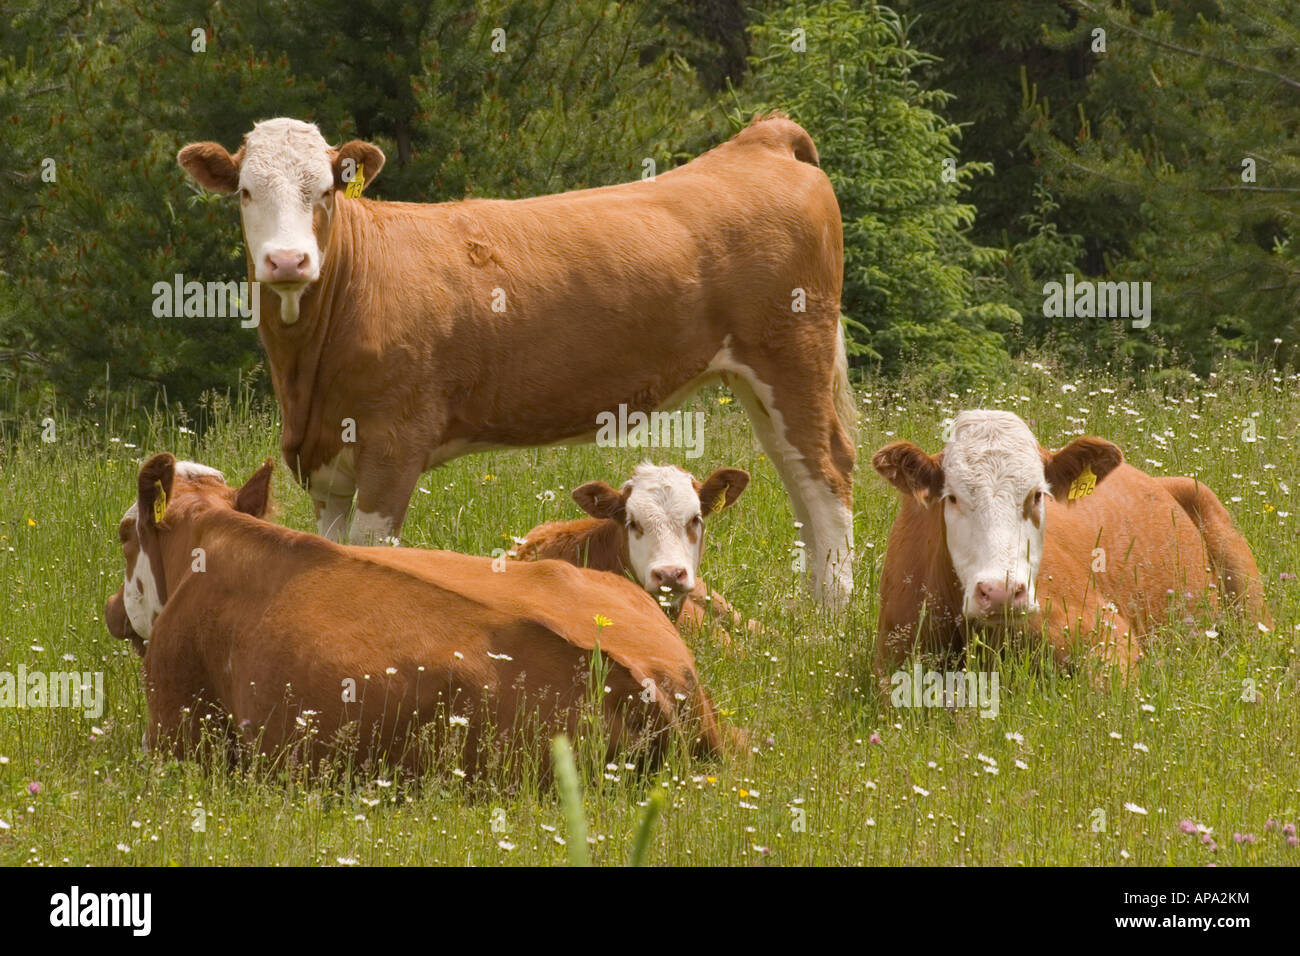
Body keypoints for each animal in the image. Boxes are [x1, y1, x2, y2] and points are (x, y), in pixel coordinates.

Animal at [176, 113, 856, 607]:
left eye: (324, 191)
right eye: (245, 192)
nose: (288, 261)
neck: (306, 376)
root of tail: (759, 139)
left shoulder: (392, 446)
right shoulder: (326, 465)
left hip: (793, 355)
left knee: (827, 476)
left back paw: (829, 616)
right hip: (758, 377)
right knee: (798, 476)